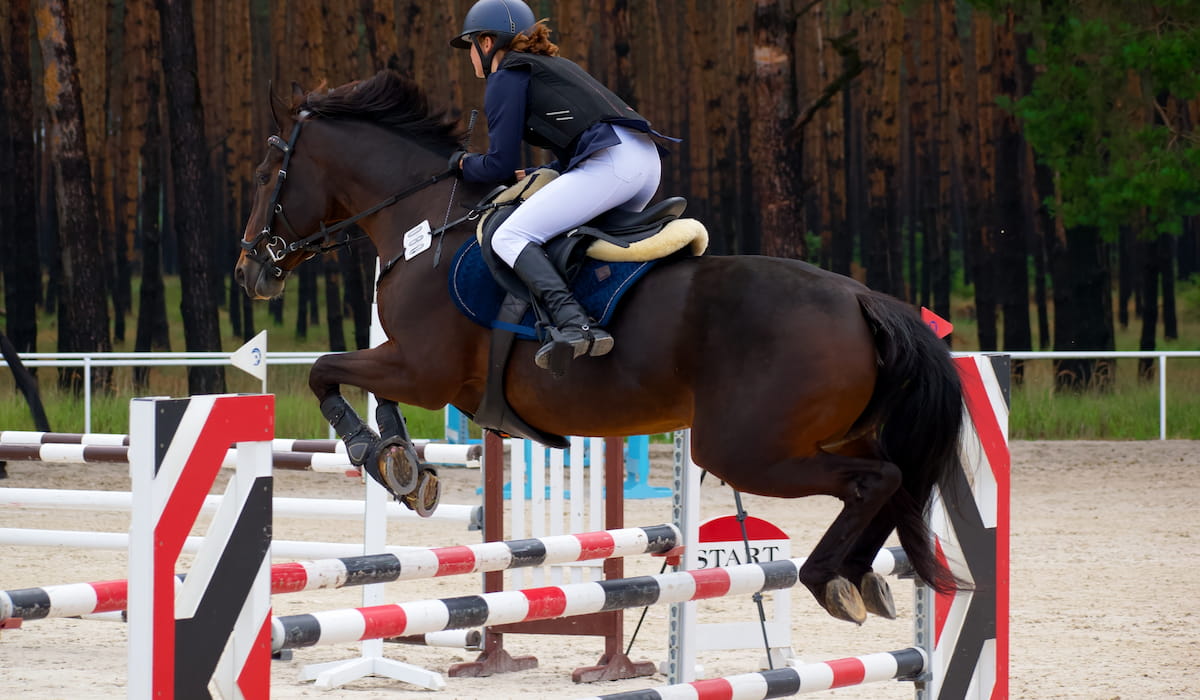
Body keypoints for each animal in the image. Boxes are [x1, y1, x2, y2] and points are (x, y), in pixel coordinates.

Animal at [234, 70, 966, 624]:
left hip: (747, 450)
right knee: (897, 478)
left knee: (879, 479)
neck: (426, 223)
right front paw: (401, 464)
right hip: (827, 435)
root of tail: (865, 300)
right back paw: (860, 576)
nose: (249, 273)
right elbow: (361, 388)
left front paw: (375, 454)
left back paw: (830, 577)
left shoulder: (423, 370)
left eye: (269, 172)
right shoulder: (411, 368)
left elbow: (326, 373)